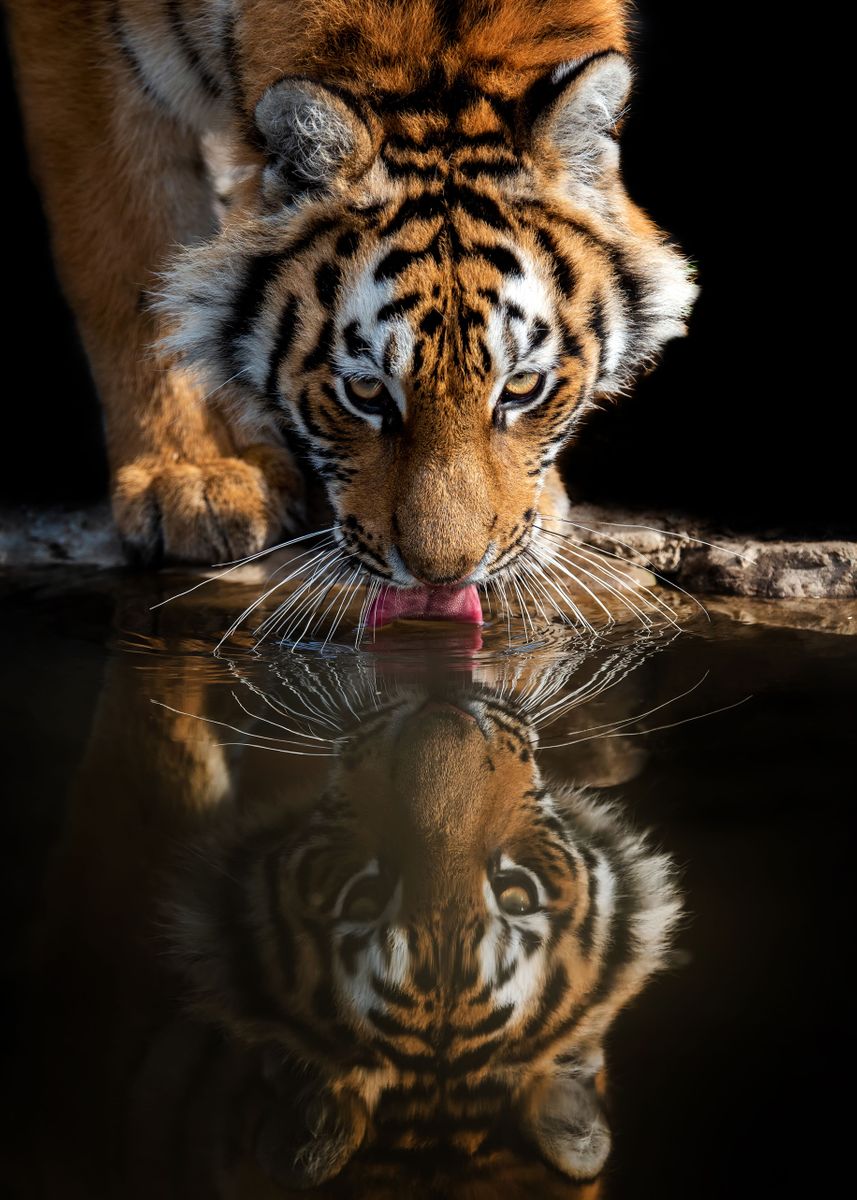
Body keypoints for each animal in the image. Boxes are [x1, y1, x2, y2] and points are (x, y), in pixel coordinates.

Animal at [6, 1, 697, 626]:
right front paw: (194, 478)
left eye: (523, 386)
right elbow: (137, 270)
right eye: (365, 393)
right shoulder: (82, 55)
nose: (442, 579)